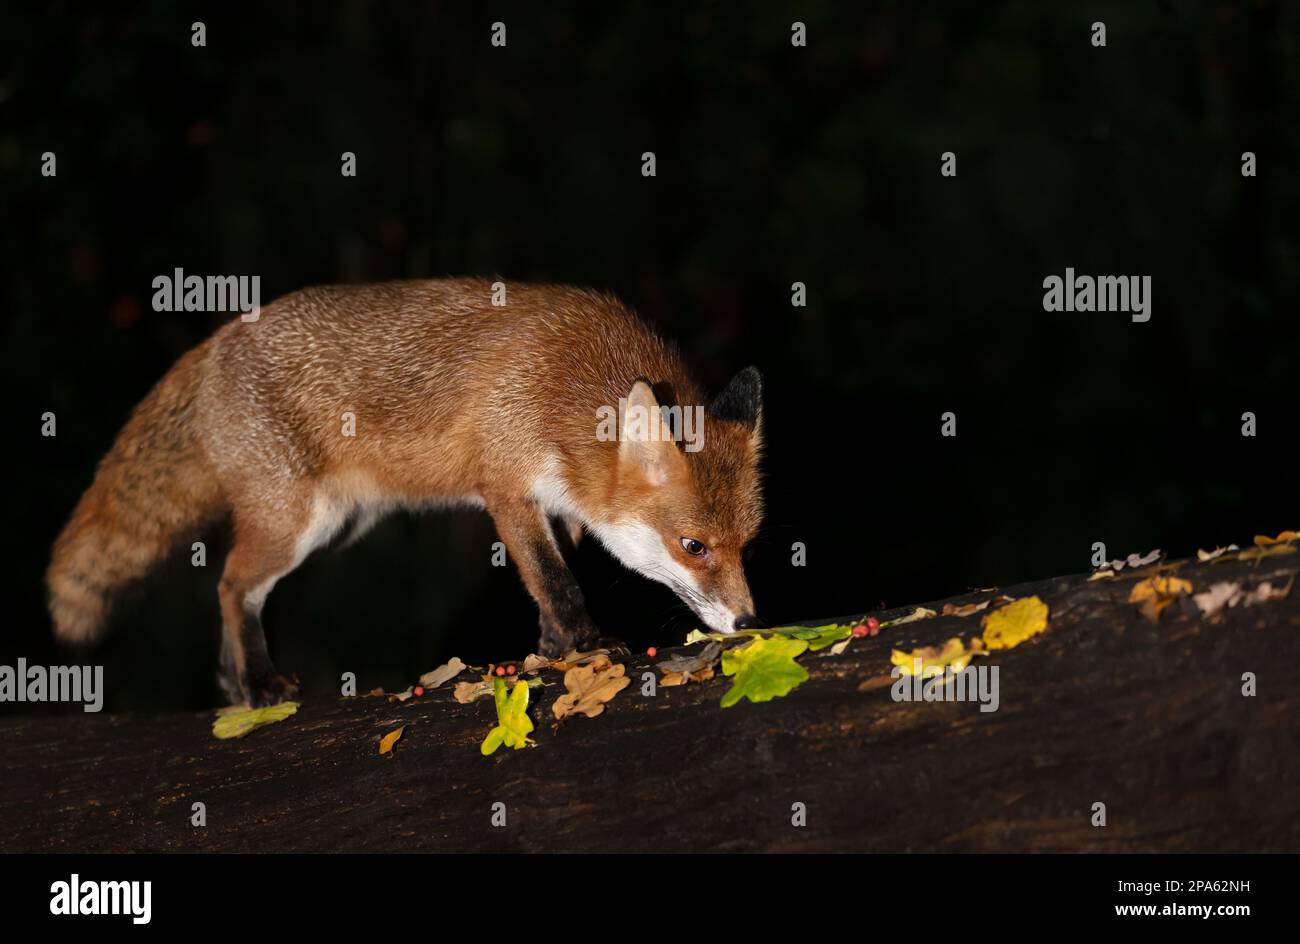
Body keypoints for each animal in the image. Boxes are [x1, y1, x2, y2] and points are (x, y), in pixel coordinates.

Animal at [47, 279, 764, 706]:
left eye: (747, 544)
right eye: (693, 546)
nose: (748, 622)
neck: (567, 386)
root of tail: (217, 340)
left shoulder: (558, 508)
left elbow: (546, 586)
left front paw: (552, 650)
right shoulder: (507, 488)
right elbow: (557, 581)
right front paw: (587, 644)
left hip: (329, 525)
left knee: (235, 592)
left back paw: (238, 687)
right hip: (299, 524)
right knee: (228, 584)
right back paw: (259, 681)